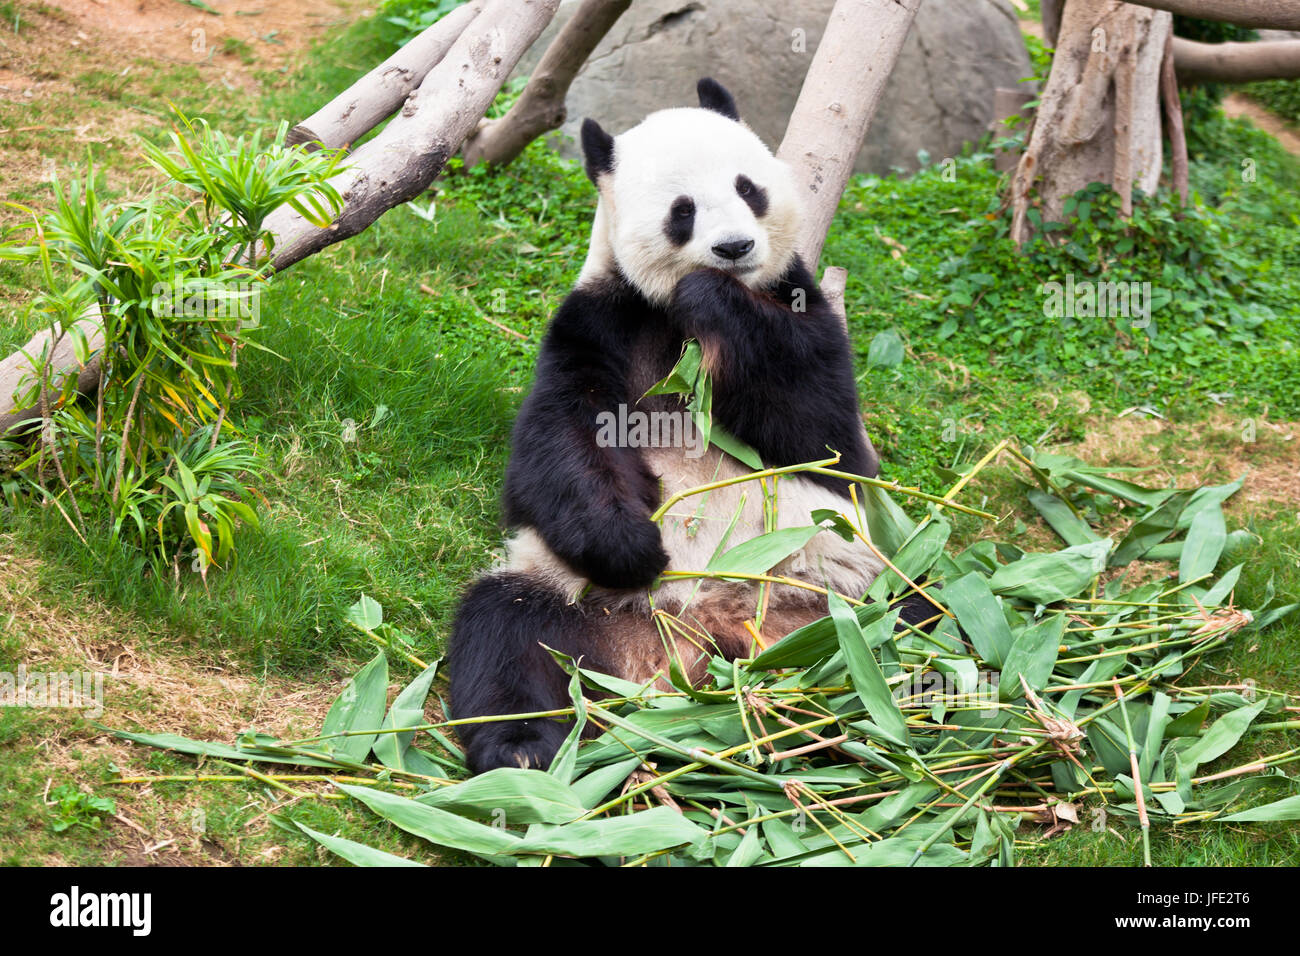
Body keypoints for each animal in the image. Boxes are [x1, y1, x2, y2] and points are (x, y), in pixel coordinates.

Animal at [448, 78, 890, 774]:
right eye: (683, 211)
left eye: (748, 188)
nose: (734, 248)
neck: (671, 315)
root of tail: (699, 641)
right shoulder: (600, 320)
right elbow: (564, 441)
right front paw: (635, 545)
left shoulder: (798, 302)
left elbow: (818, 428)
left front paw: (716, 300)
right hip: (575, 599)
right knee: (505, 633)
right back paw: (520, 751)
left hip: (843, 596)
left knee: (922, 616)